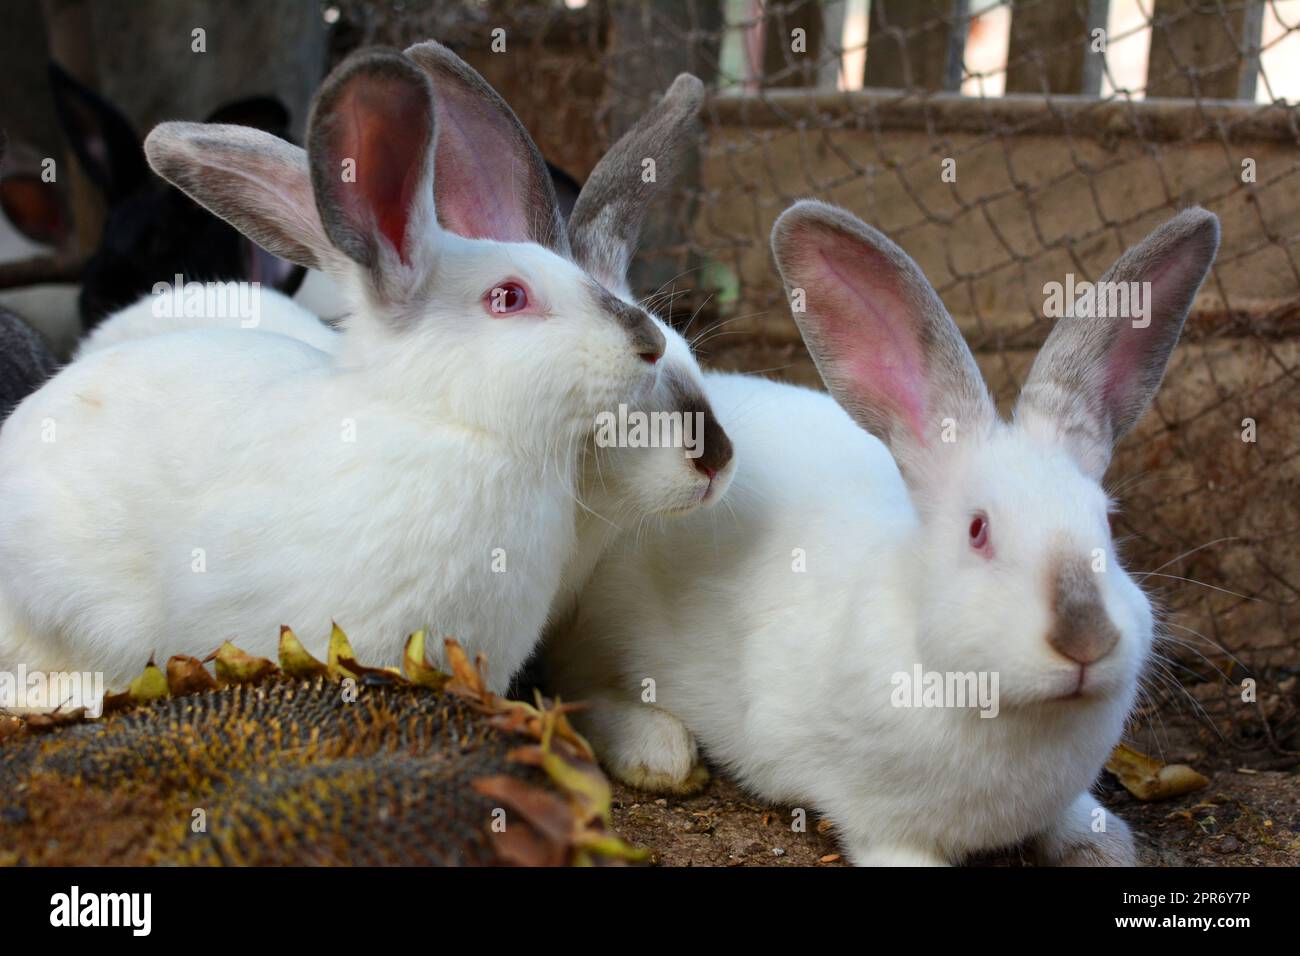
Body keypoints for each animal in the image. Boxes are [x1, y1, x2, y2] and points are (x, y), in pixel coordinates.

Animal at [545, 200, 1221, 866]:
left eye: (1106, 522)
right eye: (978, 530)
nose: (1086, 640)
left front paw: (1101, 844)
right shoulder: (884, 827)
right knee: (574, 689)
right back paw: (658, 749)